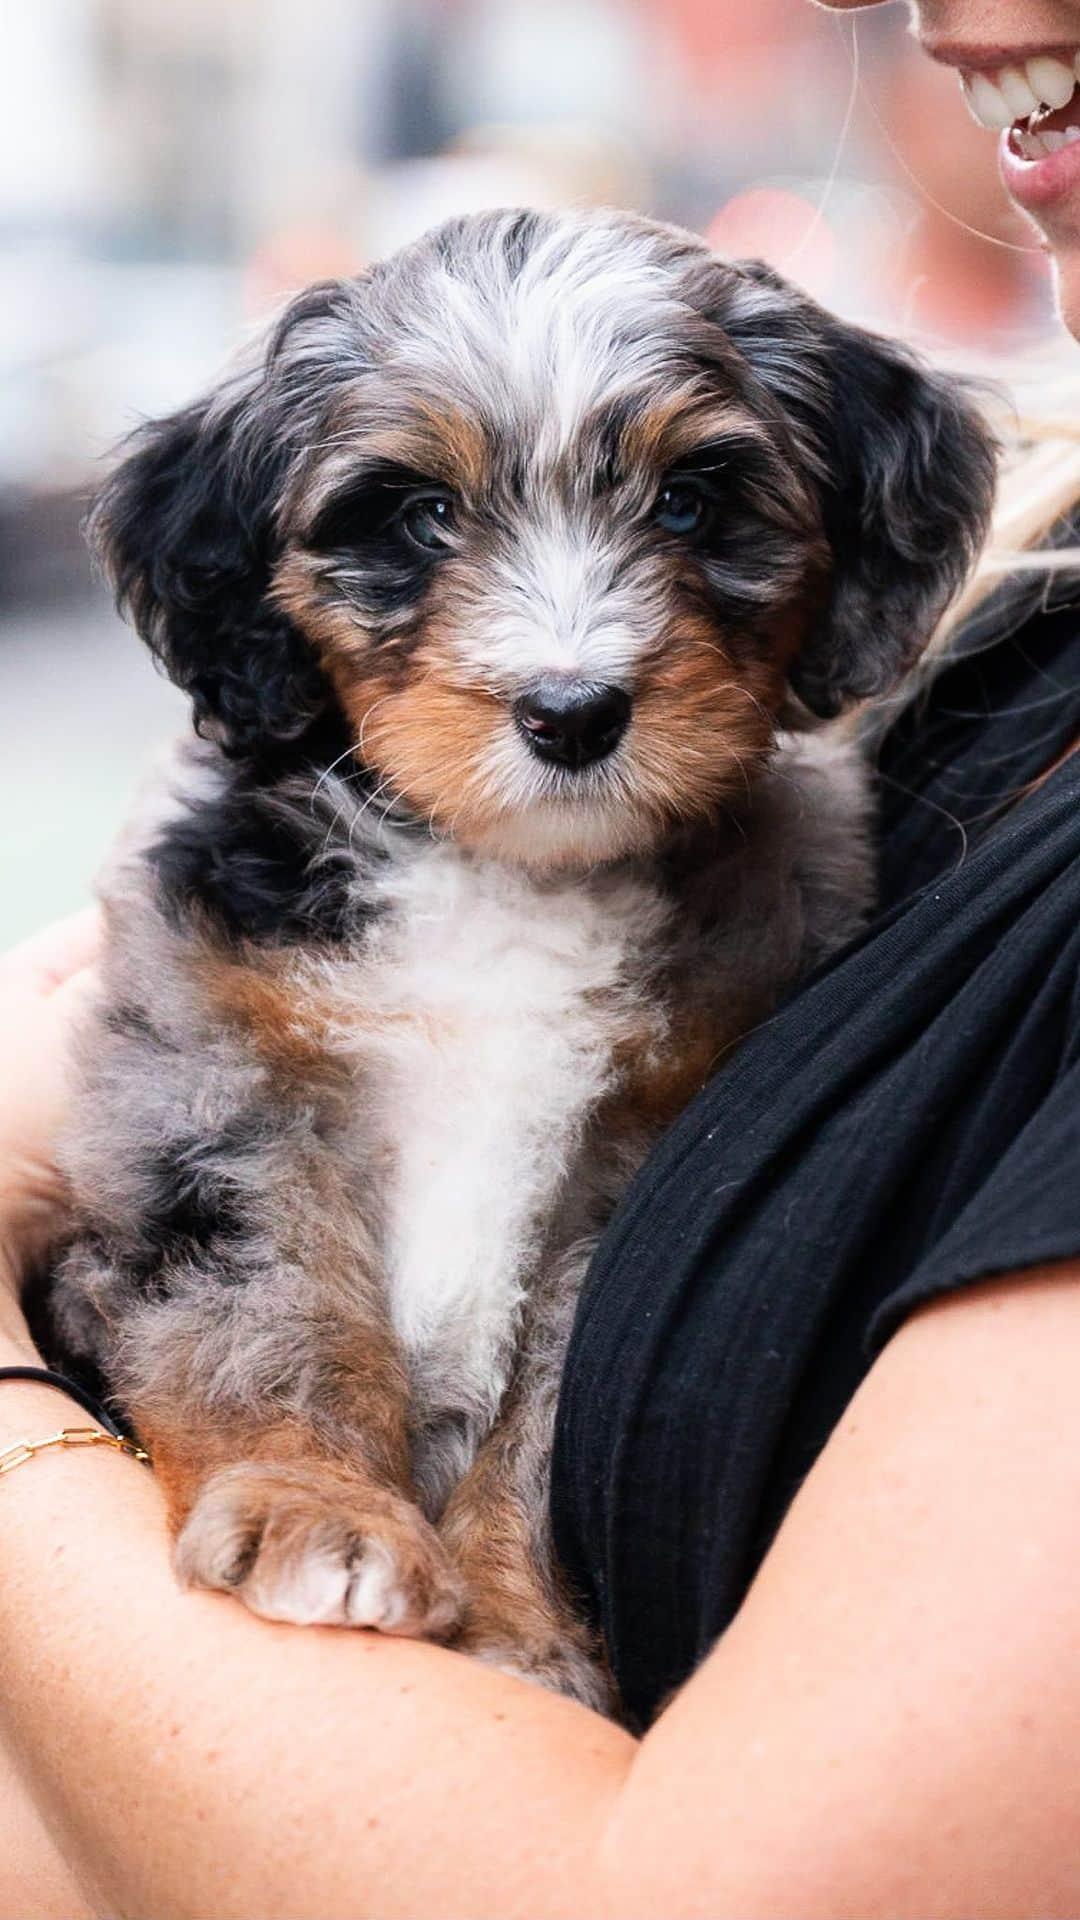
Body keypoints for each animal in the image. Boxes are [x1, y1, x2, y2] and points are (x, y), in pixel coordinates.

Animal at [50, 210, 991, 1712]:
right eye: (420, 515)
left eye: (692, 504)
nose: (571, 711)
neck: (507, 873)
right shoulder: (206, 1071)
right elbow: (260, 1299)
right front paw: (314, 1506)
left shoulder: (641, 1148)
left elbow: (554, 1416)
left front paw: (516, 1629)